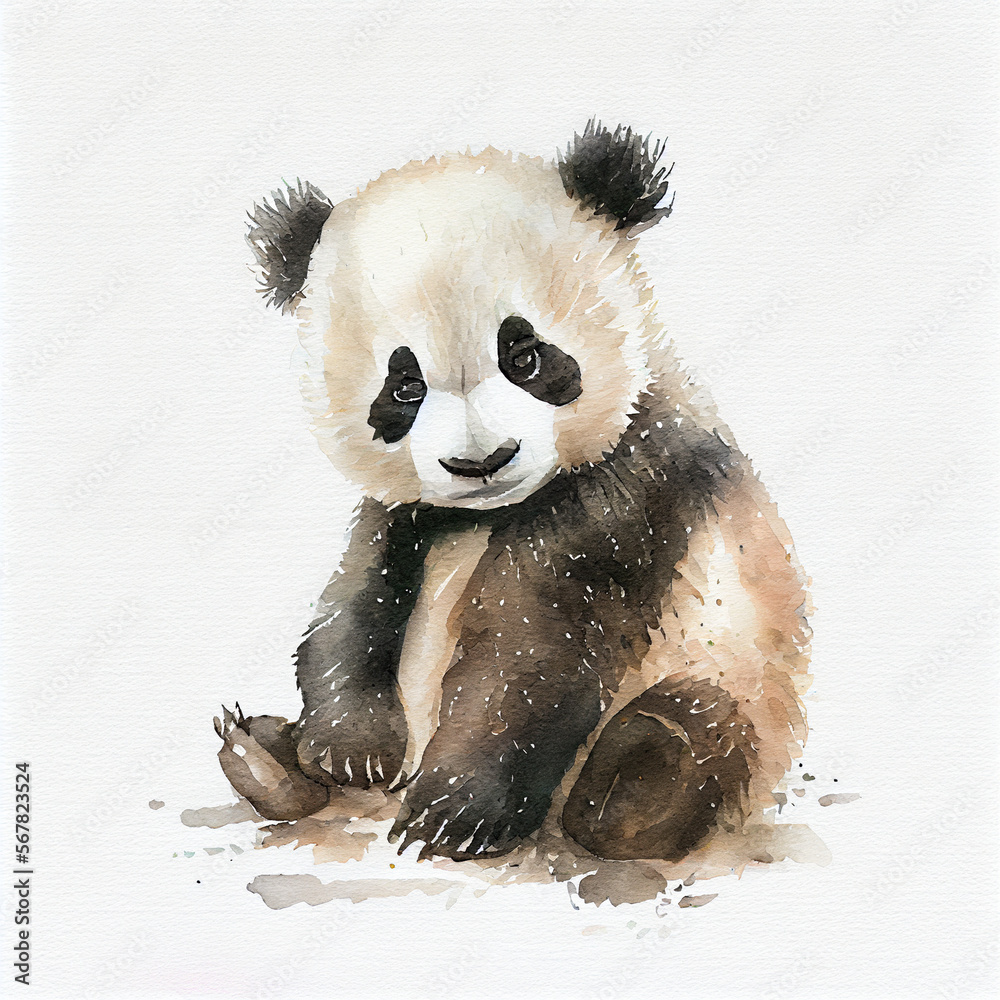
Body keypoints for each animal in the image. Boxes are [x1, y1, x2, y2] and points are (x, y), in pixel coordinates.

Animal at [215, 120, 812, 865]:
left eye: (525, 356)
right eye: (404, 386)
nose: (481, 461)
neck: (490, 513)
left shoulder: (630, 481)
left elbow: (533, 643)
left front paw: (453, 812)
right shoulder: (402, 514)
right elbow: (353, 600)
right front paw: (349, 748)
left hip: (740, 669)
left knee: (698, 723)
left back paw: (630, 789)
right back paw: (263, 757)